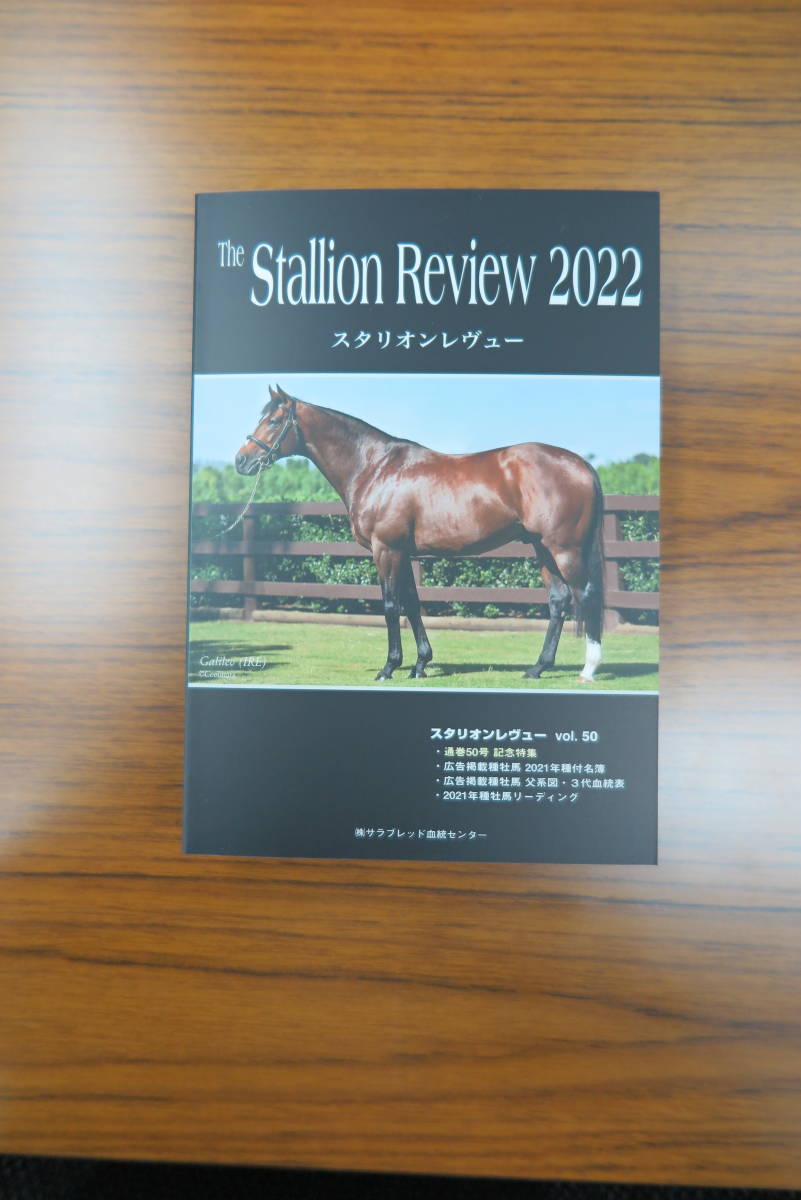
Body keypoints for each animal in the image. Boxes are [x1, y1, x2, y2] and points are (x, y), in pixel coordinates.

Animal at [235, 384, 605, 683]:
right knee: (559, 601)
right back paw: (537, 668)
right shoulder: (403, 552)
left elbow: (390, 605)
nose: (241, 461)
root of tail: (582, 465)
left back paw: (588, 669)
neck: (374, 468)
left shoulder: (385, 549)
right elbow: (411, 604)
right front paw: (420, 664)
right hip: (542, 548)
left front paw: (389, 667)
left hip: (564, 549)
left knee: (585, 596)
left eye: (273, 421)